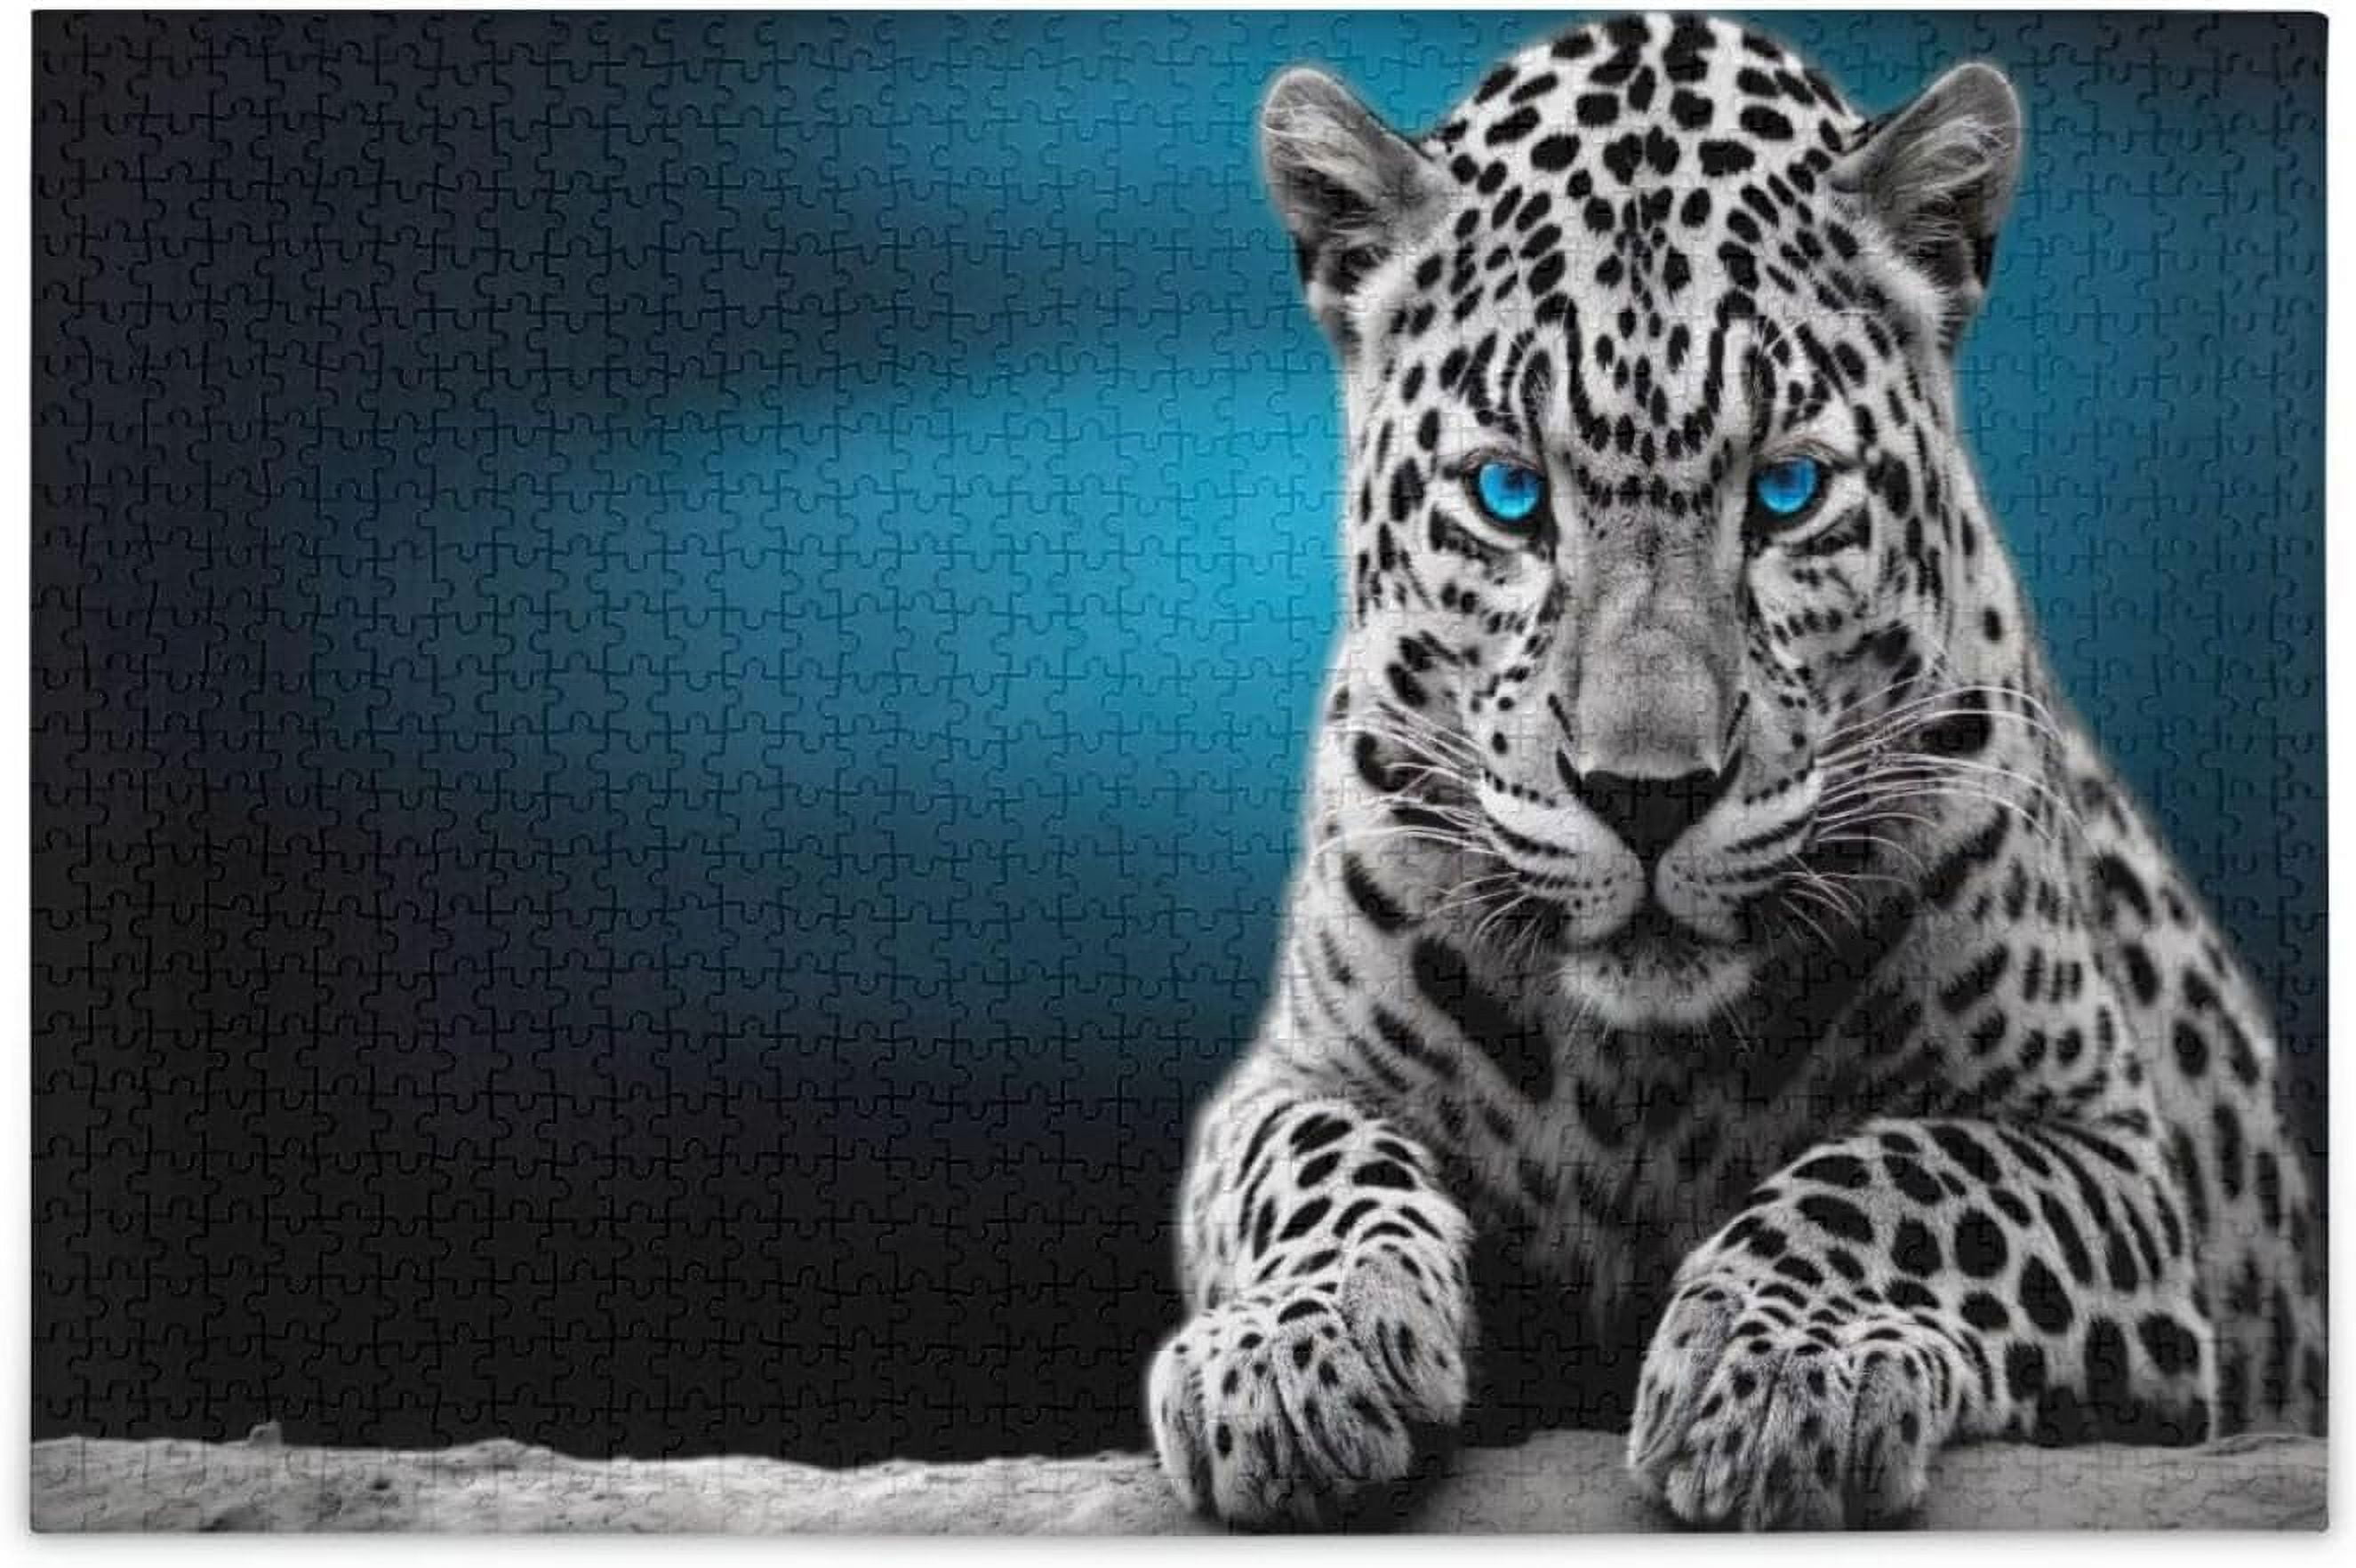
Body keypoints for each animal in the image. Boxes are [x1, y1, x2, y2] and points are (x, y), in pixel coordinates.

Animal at [1144, 11, 2325, 1531]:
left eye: (1785, 492)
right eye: (1509, 496)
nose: (1645, 796)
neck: (1639, 1081)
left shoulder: (2105, 1155)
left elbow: (1904, 1174)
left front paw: (1770, 1371)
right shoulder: (1290, 1076)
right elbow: (1307, 1166)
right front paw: (1290, 1356)